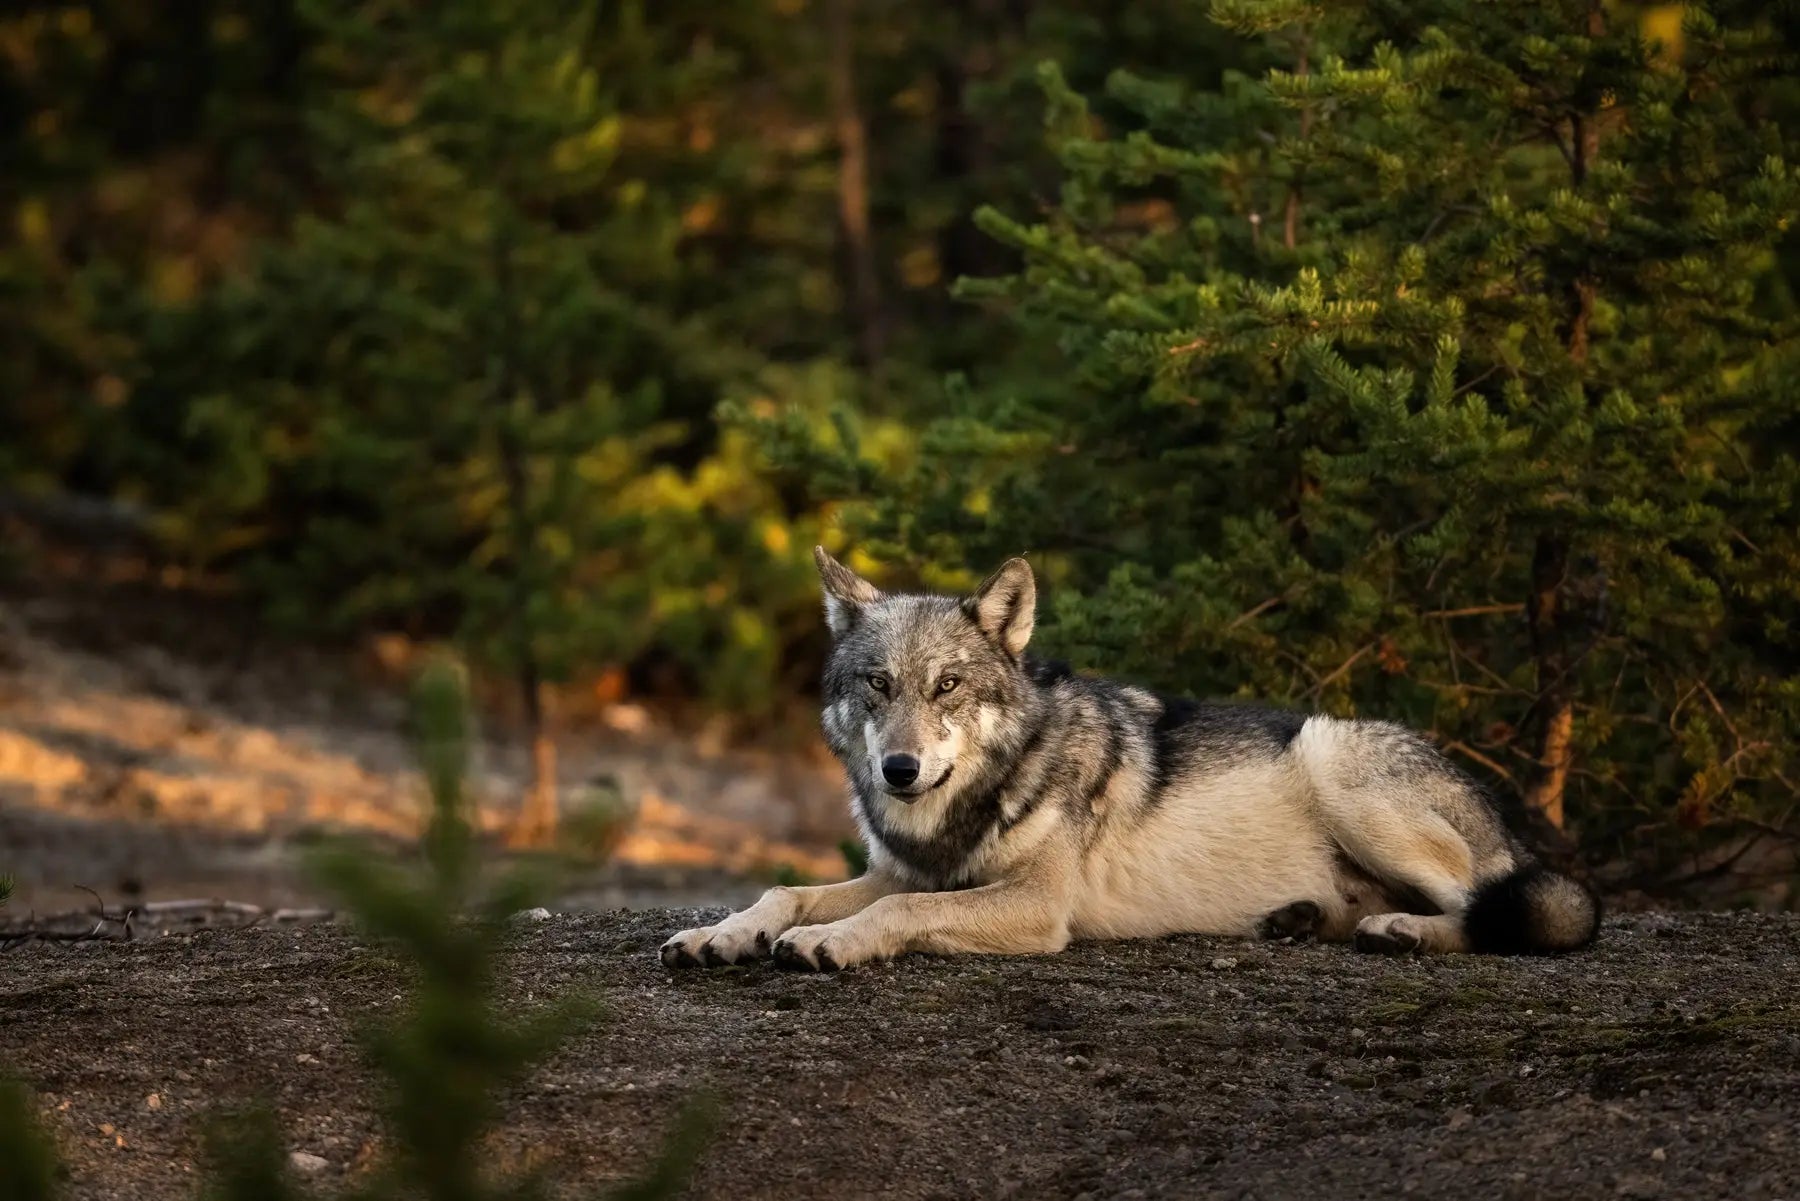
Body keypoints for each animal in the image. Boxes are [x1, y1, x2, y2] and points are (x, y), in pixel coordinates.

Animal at [660, 549, 1600, 971]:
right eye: (878, 684)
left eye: (948, 685)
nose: (899, 769)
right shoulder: (902, 871)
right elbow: (785, 890)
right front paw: (721, 931)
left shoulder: (1036, 907)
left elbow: (889, 914)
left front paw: (830, 942)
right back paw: (1305, 919)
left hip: (1338, 764)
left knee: (1514, 912)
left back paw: (1404, 929)